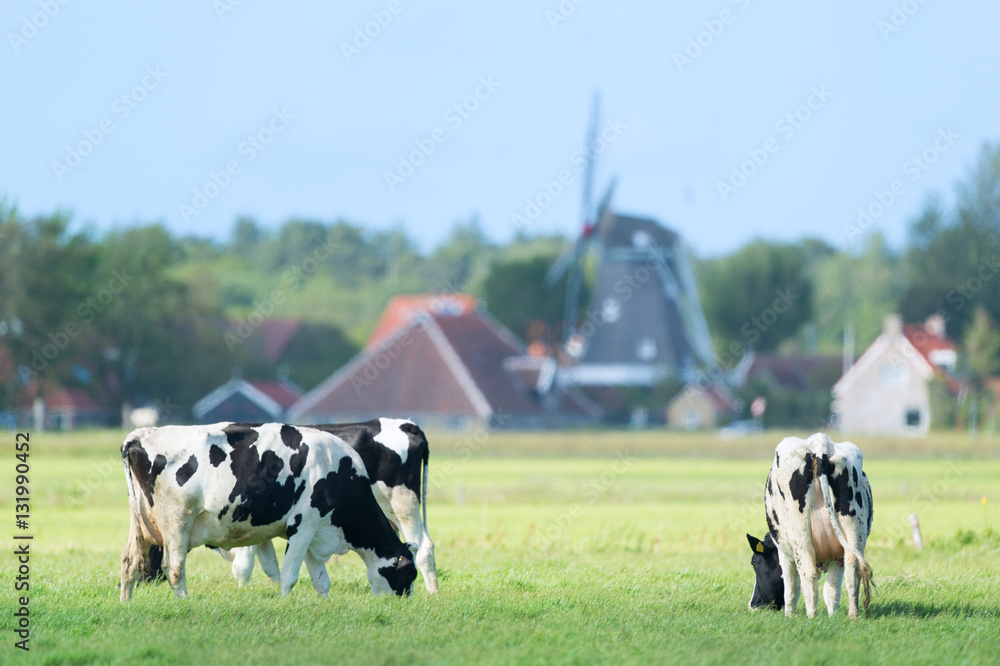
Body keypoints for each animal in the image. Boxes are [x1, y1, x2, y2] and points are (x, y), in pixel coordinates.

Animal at [119, 422, 417, 600]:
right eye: (408, 575)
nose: (404, 602)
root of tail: (141, 434)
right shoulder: (302, 525)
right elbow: (290, 574)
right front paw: (285, 603)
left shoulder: (315, 530)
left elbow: (321, 579)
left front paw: (325, 603)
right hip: (177, 521)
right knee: (174, 568)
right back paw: (185, 603)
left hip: (140, 524)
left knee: (129, 561)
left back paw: (127, 603)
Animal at [224, 418, 439, 593]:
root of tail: (407, 424)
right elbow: (270, 564)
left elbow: (243, 564)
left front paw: (242, 590)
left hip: (402, 504)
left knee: (423, 547)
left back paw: (432, 593)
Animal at [747, 433, 874, 618]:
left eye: (754, 562)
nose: (753, 604)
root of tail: (820, 442)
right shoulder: (837, 557)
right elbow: (831, 590)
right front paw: (832, 616)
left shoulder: (784, 551)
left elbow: (791, 586)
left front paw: (789, 615)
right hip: (853, 531)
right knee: (853, 569)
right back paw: (853, 615)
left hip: (800, 535)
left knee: (808, 573)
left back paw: (811, 616)